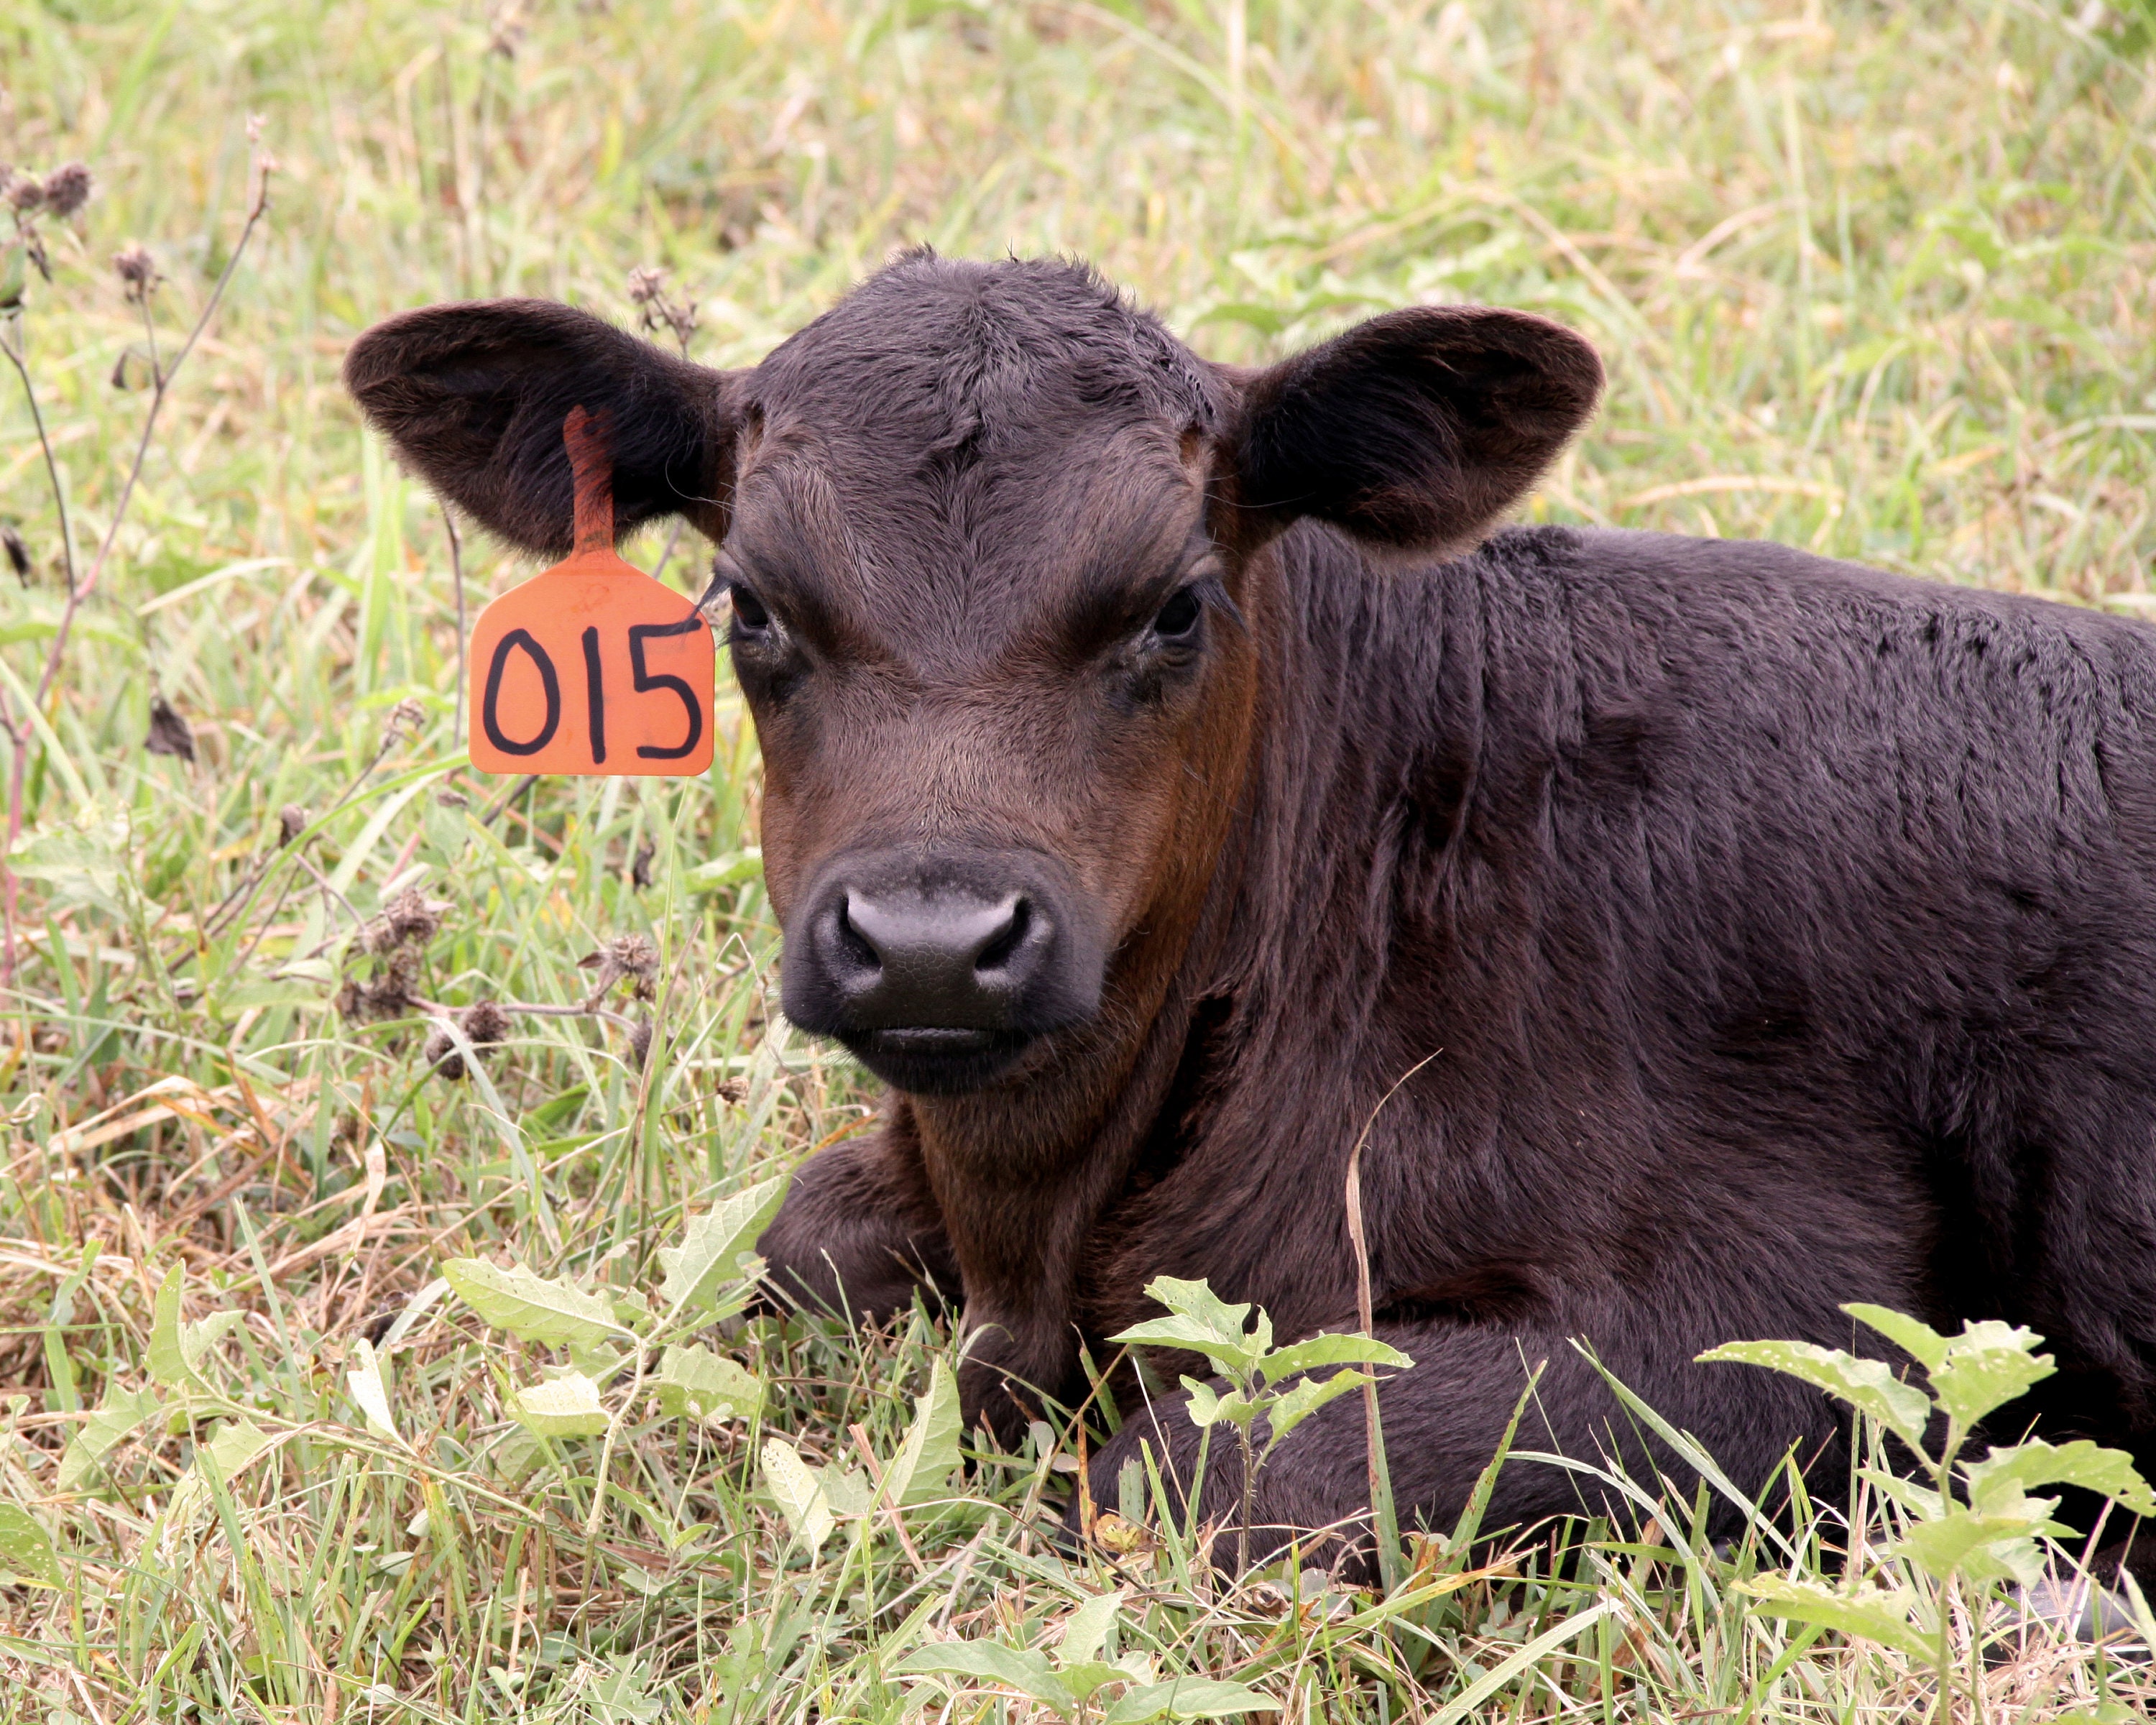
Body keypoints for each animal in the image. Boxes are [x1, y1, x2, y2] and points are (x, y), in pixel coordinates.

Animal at [346, 252, 2156, 1577]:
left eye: (1173, 605)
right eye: (753, 606)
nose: (932, 938)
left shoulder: (1788, 1321)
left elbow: (1165, 1477)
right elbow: (787, 1243)